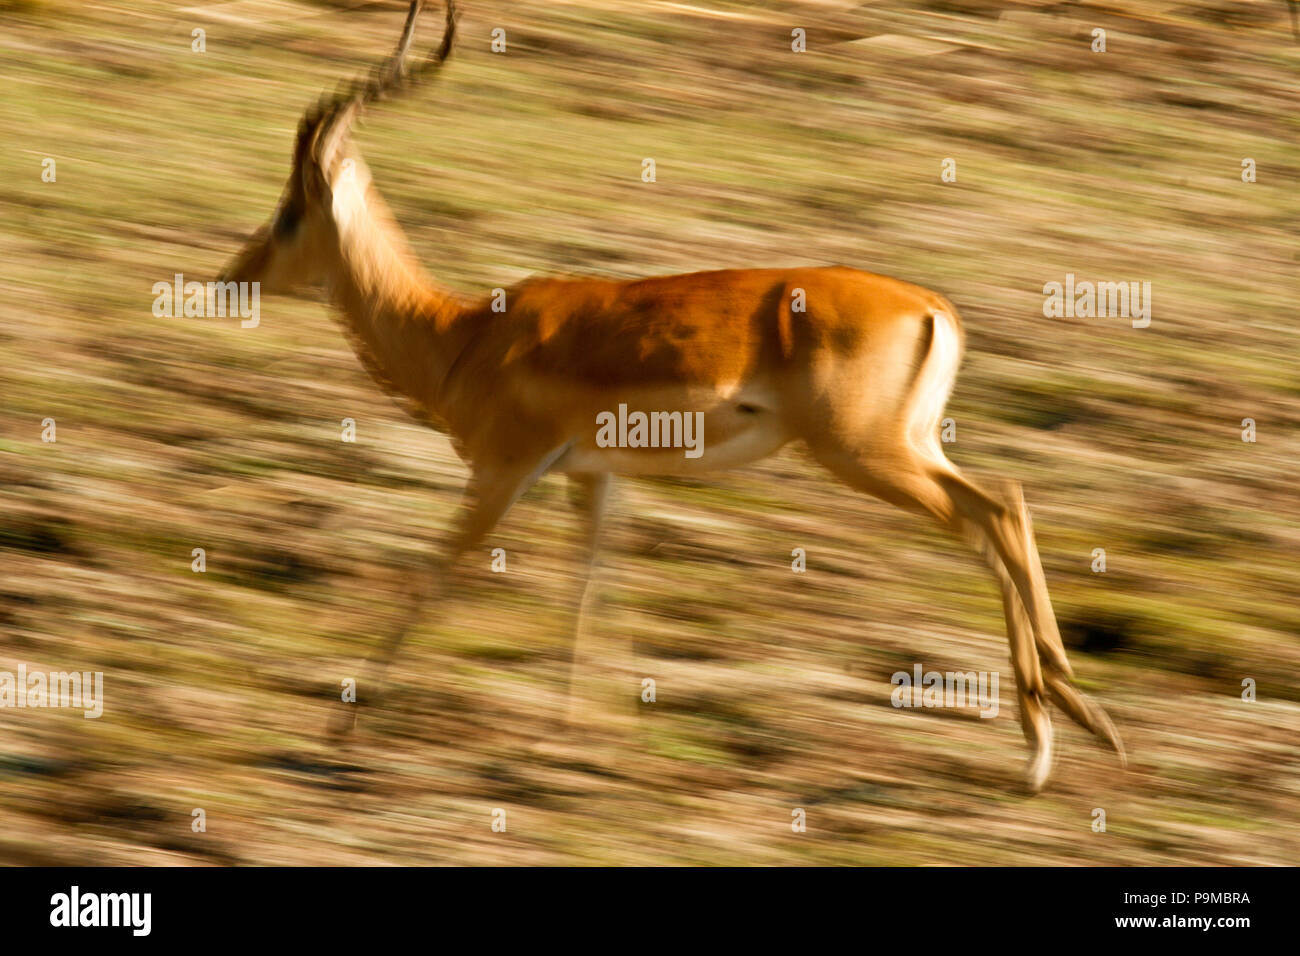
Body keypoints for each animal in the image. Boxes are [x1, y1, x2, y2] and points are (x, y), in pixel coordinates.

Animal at [219, 0, 1125, 791]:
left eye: (291, 211)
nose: (234, 277)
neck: (462, 334)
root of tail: (930, 304)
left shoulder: (503, 472)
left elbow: (438, 570)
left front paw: (343, 722)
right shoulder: (593, 476)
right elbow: (592, 587)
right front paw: (589, 735)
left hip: (866, 455)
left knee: (993, 516)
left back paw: (1048, 743)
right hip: (908, 447)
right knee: (1005, 505)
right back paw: (1077, 727)